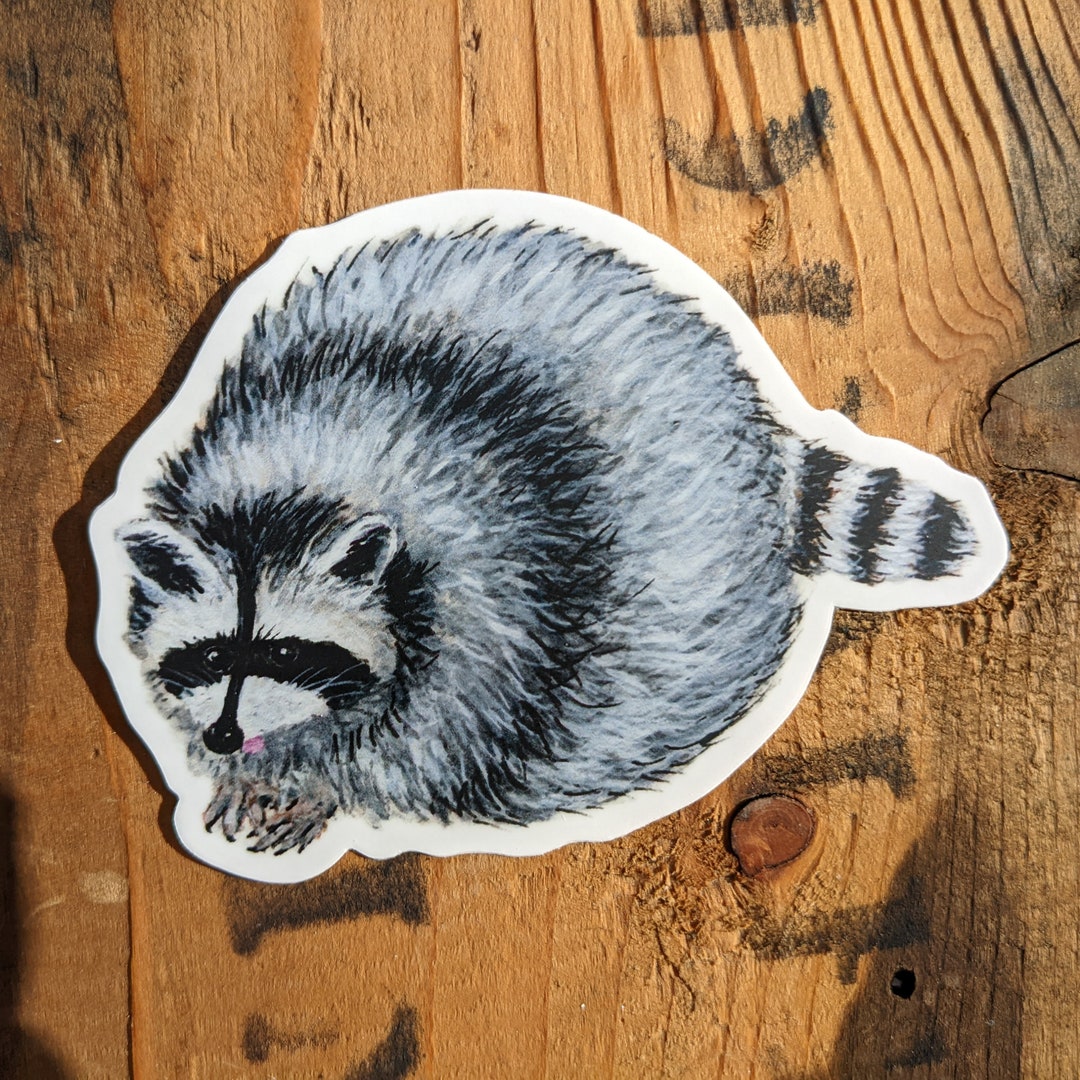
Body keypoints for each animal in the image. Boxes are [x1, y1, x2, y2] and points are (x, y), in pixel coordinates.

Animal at [110, 210, 1001, 857]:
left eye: (288, 650)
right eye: (213, 653)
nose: (227, 735)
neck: (292, 488)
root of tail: (745, 410)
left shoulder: (496, 581)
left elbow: (442, 723)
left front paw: (328, 785)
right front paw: (252, 771)